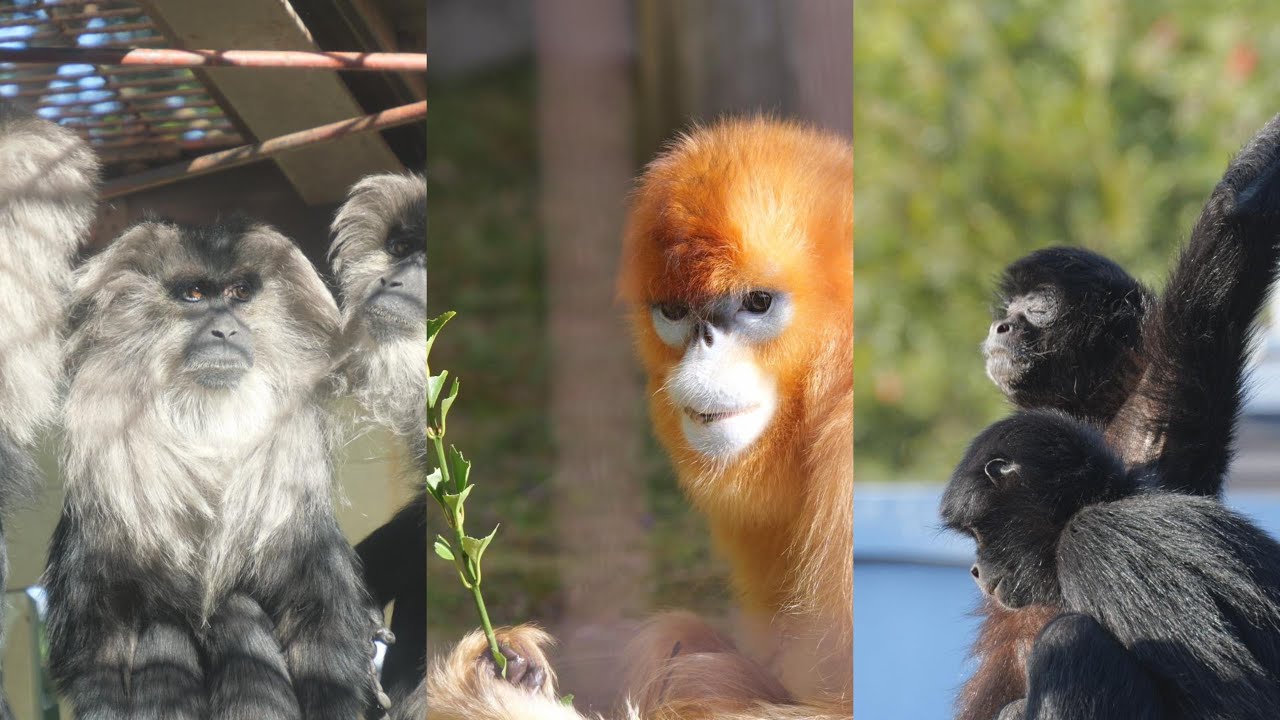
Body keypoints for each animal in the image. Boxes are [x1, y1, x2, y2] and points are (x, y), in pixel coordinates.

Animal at [44, 217, 372, 719]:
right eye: (194, 295)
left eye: (240, 292)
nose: (225, 331)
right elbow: (99, 653)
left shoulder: (297, 516)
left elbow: (321, 636)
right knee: (165, 625)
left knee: (235, 609)